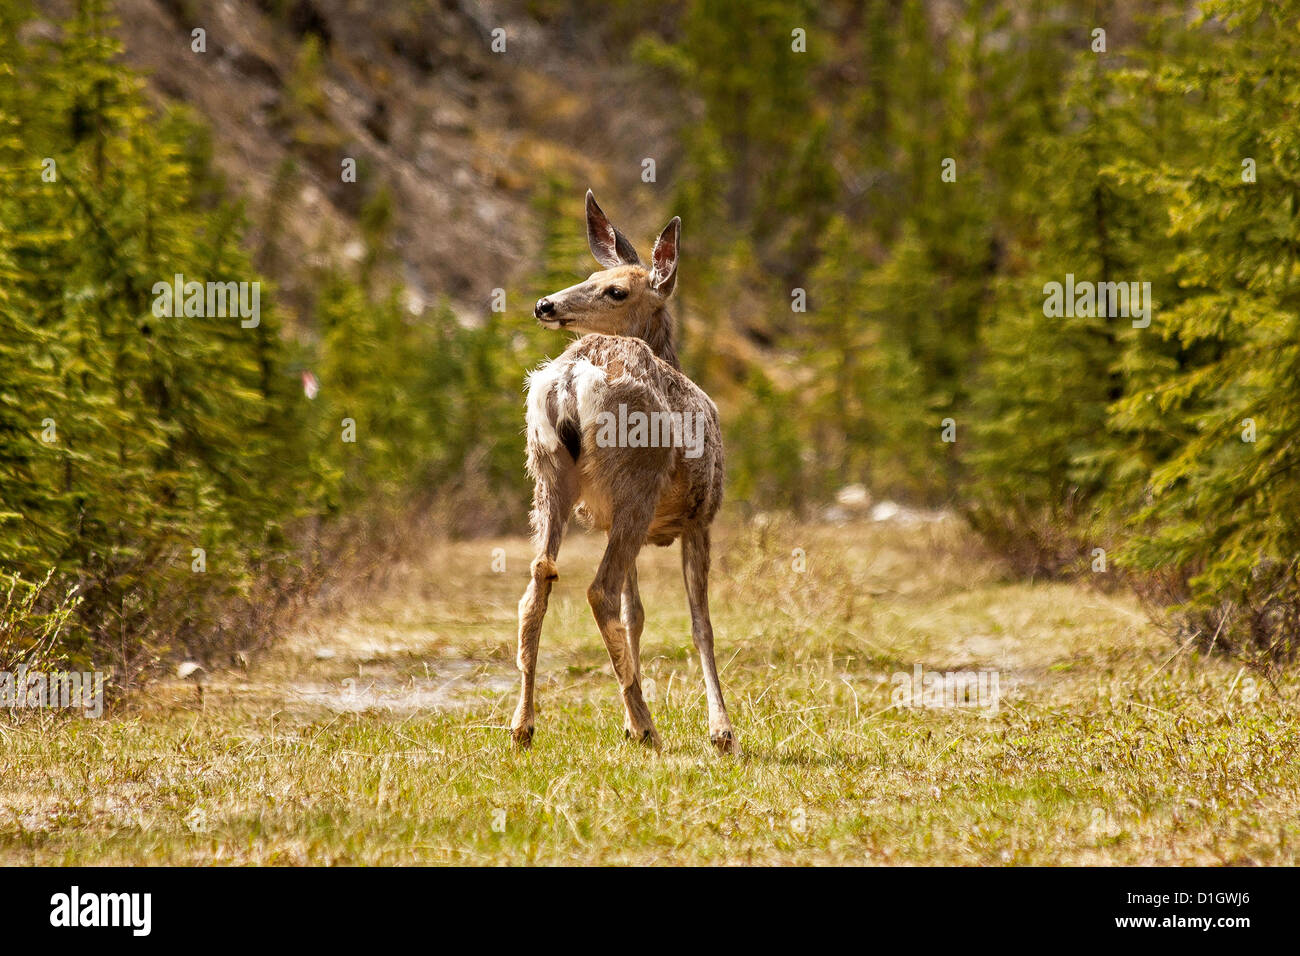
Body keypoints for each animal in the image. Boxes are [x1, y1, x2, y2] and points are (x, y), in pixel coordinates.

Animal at [510, 190, 737, 754]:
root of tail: (572, 375)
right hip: (639, 477)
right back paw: (647, 727)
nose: (545, 305)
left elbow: (637, 616)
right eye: (591, 277)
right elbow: (701, 622)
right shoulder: (700, 517)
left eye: (612, 288)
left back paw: (524, 726)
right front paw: (722, 731)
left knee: (538, 582)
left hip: (547, 473)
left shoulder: (615, 517)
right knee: (598, 590)